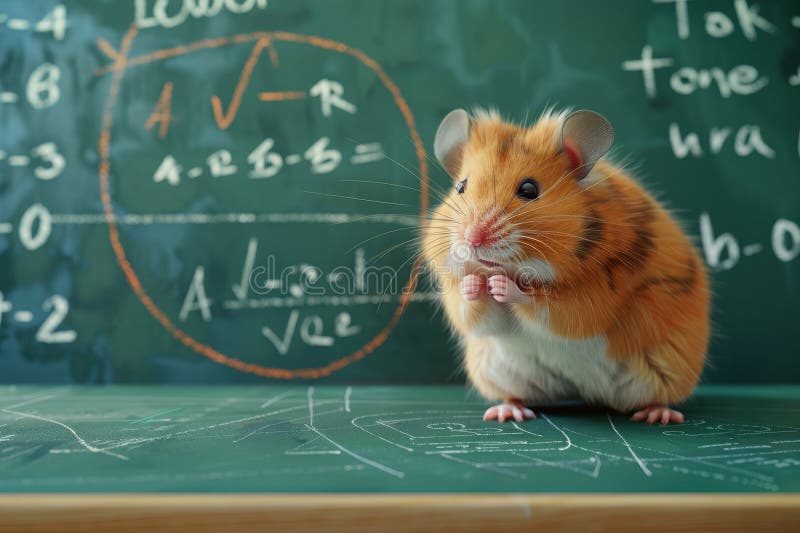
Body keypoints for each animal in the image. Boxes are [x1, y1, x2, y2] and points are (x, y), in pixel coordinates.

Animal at [422, 108, 710, 425]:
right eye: (461, 187)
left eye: (529, 189)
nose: (472, 238)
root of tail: (584, 392)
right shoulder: (473, 314)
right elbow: (473, 315)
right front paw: (474, 283)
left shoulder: (594, 298)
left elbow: (550, 308)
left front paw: (501, 285)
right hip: (499, 372)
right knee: (516, 394)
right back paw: (506, 412)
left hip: (668, 370)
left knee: (656, 398)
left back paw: (657, 415)